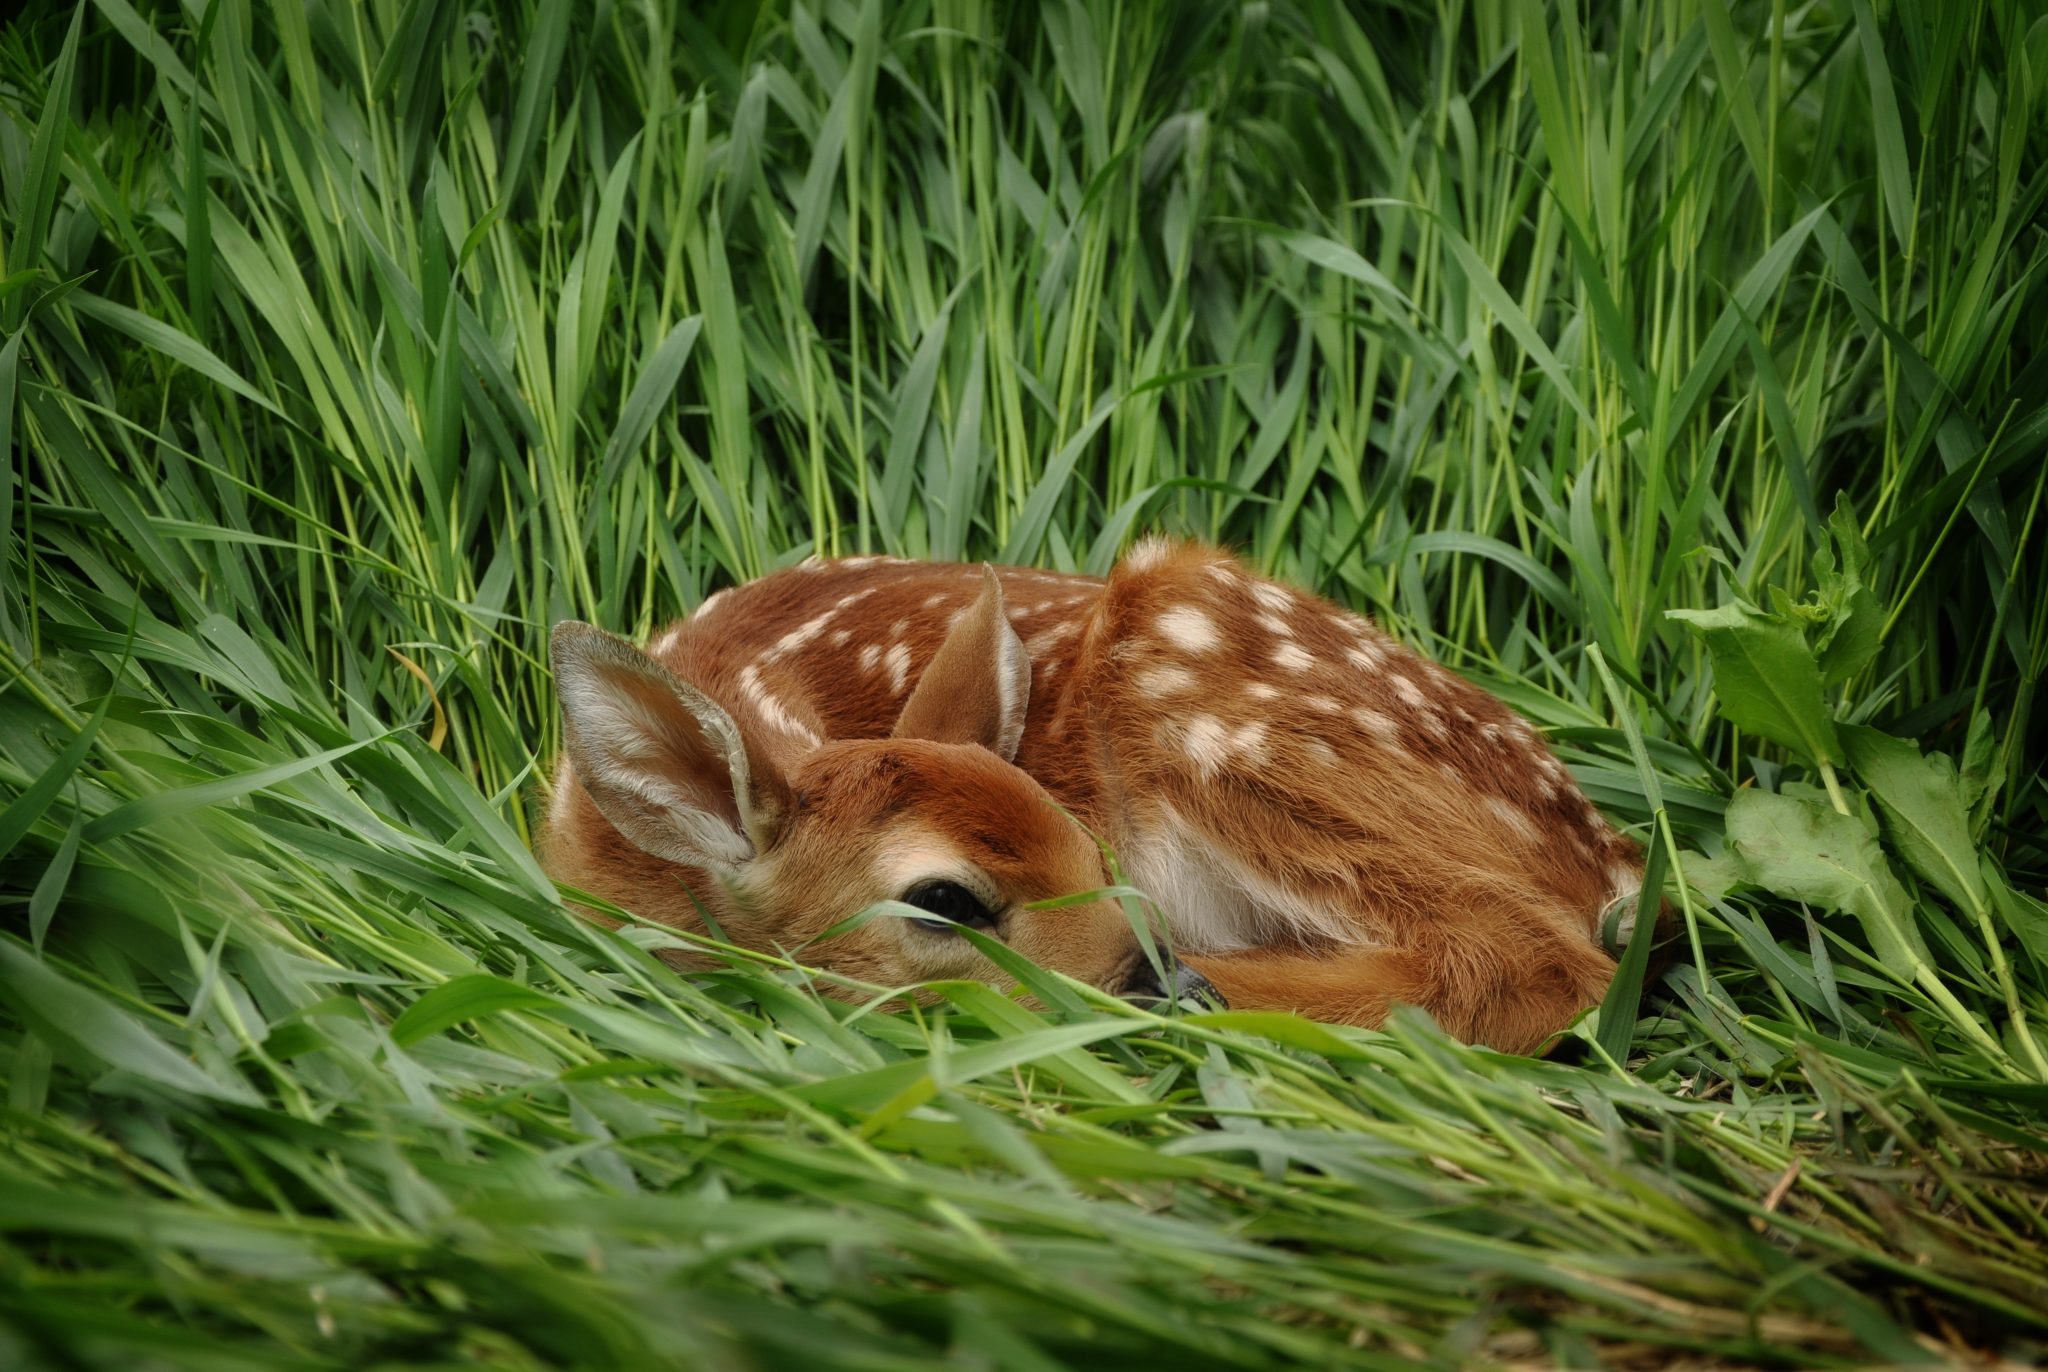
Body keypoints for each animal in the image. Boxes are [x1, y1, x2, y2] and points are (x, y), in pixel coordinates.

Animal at [542, 537, 1649, 1055]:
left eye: (1092, 849)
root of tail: (1608, 853)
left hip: (1219, 715)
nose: (1150, 967)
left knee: (1527, 961)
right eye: (944, 900)